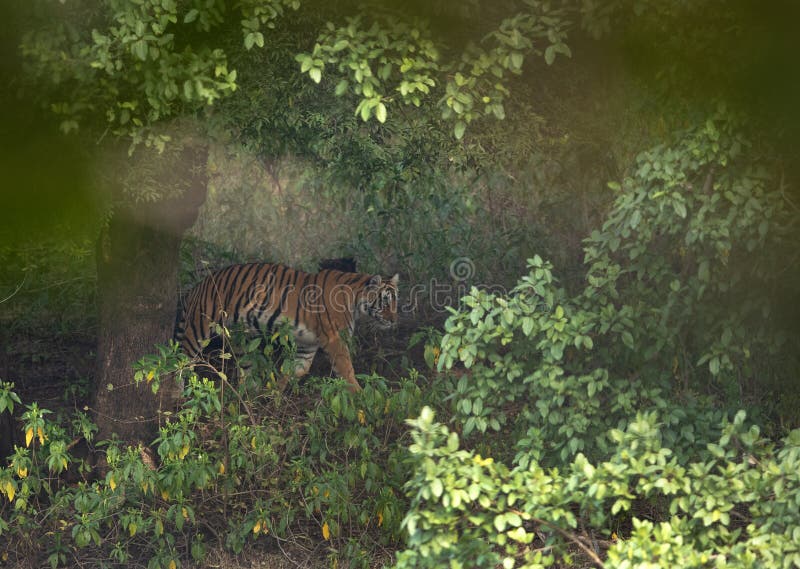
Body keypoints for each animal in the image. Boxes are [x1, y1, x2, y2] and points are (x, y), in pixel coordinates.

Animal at [174, 262, 399, 393]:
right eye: (385, 302)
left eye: (396, 301)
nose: (394, 320)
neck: (355, 300)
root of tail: (198, 286)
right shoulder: (335, 340)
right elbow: (347, 370)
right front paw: (362, 400)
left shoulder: (307, 345)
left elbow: (294, 370)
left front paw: (273, 393)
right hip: (198, 329)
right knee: (180, 361)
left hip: (240, 338)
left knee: (245, 366)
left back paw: (250, 394)